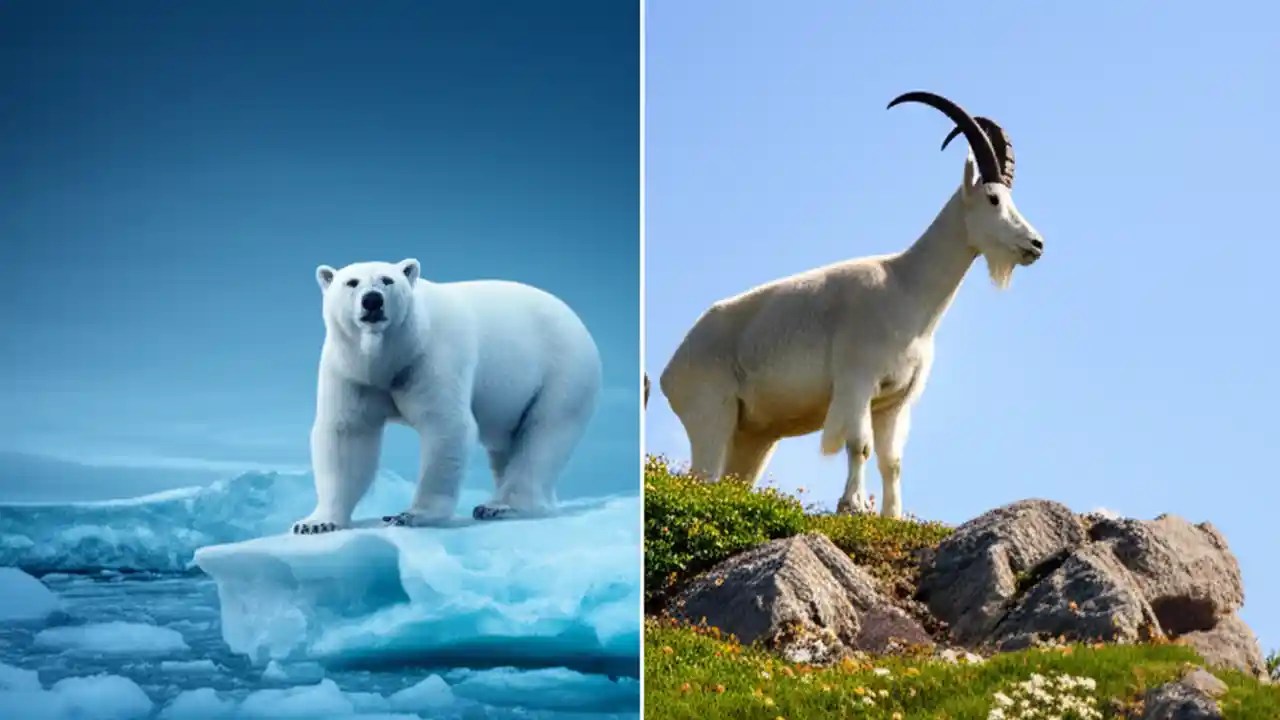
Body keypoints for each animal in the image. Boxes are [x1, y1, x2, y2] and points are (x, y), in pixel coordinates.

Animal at [290, 258, 602, 534]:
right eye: (351, 282)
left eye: (387, 280)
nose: (372, 301)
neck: (390, 356)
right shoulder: (350, 371)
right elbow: (347, 435)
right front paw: (315, 523)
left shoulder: (432, 358)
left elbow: (446, 425)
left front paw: (409, 515)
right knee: (508, 445)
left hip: (563, 374)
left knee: (543, 435)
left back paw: (501, 506)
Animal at [657, 91, 1044, 518]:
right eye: (993, 199)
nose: (1035, 244)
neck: (906, 288)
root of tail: (671, 370)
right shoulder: (858, 382)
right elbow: (860, 445)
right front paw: (853, 506)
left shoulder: (893, 403)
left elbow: (891, 461)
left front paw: (892, 516)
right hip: (711, 414)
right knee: (703, 475)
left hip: (753, 436)